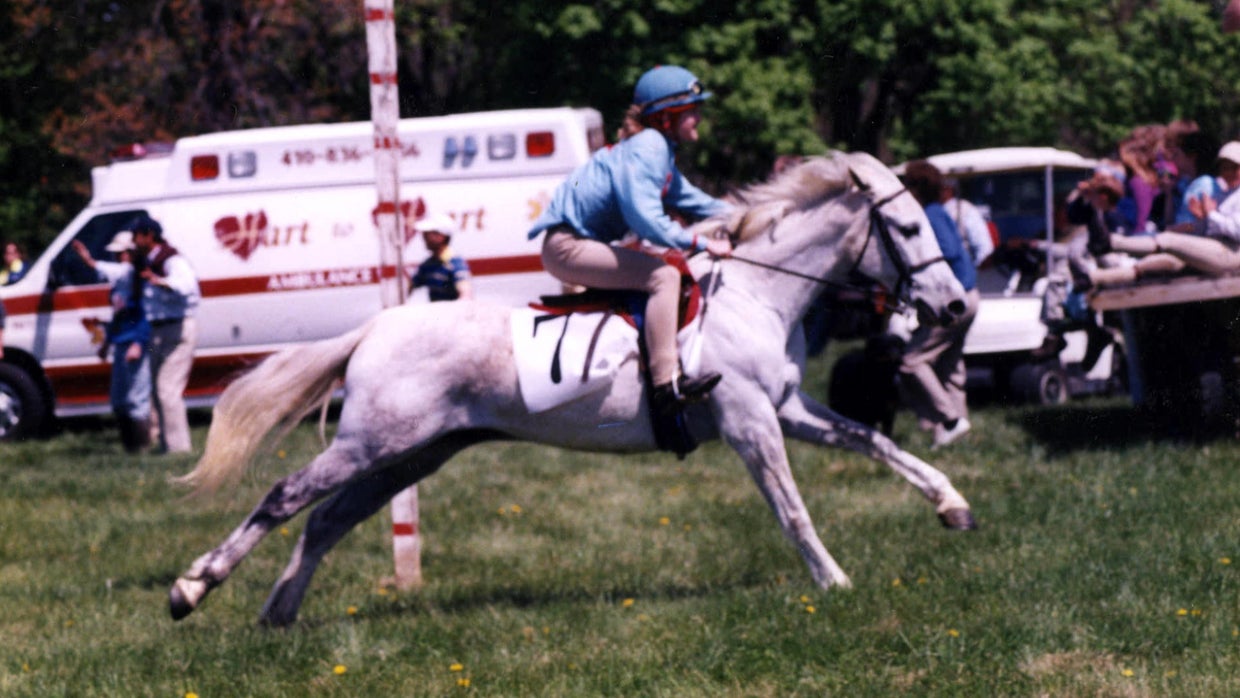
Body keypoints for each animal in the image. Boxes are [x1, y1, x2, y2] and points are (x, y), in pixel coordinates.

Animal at [168, 151, 976, 627]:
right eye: (908, 227)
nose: (956, 306)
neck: (754, 291)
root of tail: (372, 330)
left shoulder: (786, 407)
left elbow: (874, 441)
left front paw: (952, 504)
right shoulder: (750, 420)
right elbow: (792, 507)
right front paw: (834, 581)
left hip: (412, 454)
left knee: (327, 520)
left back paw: (278, 614)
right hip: (372, 442)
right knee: (284, 498)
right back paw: (192, 589)